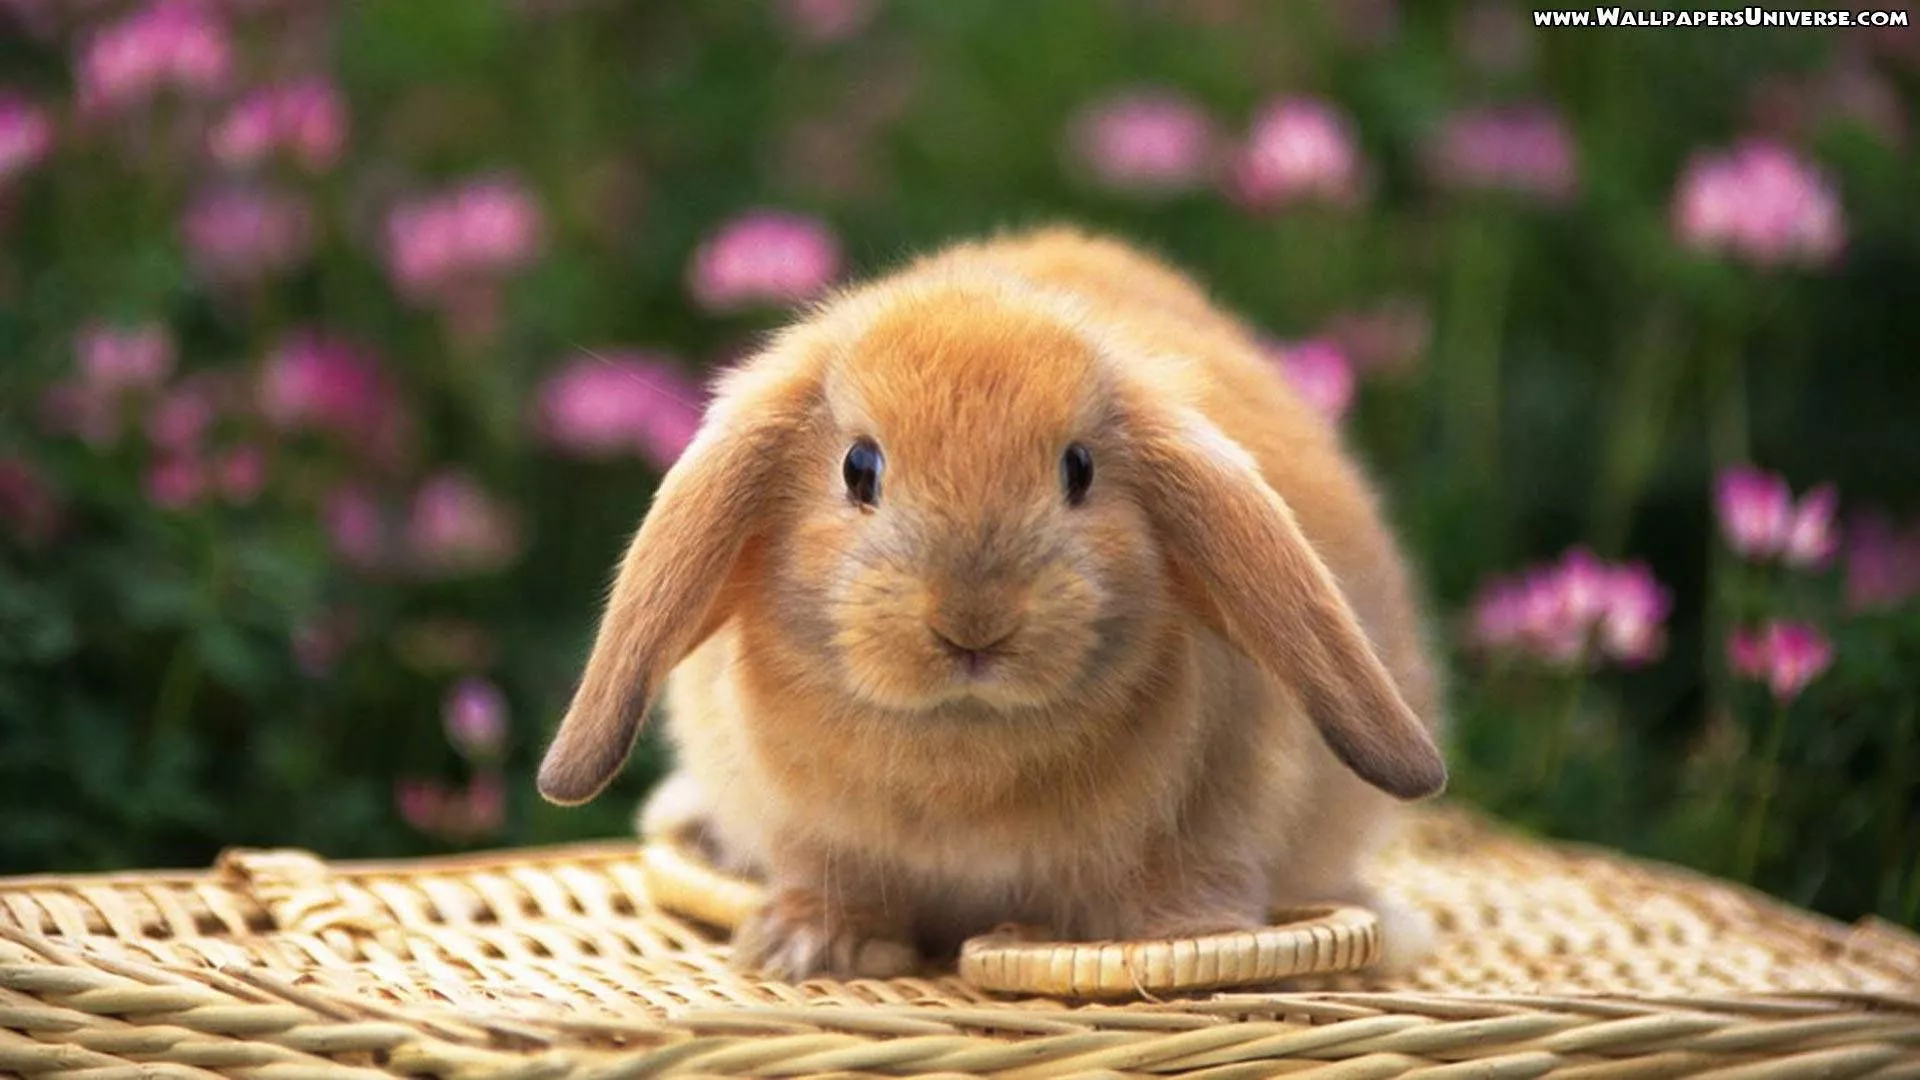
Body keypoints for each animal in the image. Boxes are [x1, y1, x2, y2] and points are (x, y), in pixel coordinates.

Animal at [537, 226, 1448, 982]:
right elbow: (826, 877)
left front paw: (1185, 945)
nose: (974, 621)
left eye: (1079, 469)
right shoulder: (809, 832)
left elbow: (1188, 889)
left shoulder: (1211, 819)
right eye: (859, 468)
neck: (964, 748)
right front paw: (812, 948)